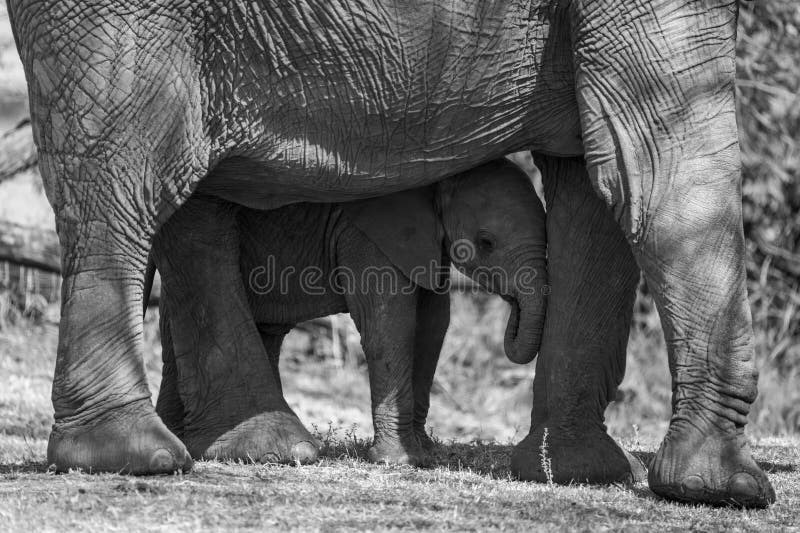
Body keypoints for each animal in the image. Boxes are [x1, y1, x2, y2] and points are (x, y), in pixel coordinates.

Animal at [150, 158, 548, 466]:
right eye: (487, 243)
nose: (512, 308)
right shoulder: (371, 234)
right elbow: (390, 324)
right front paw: (399, 461)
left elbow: (434, 323)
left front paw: (424, 451)